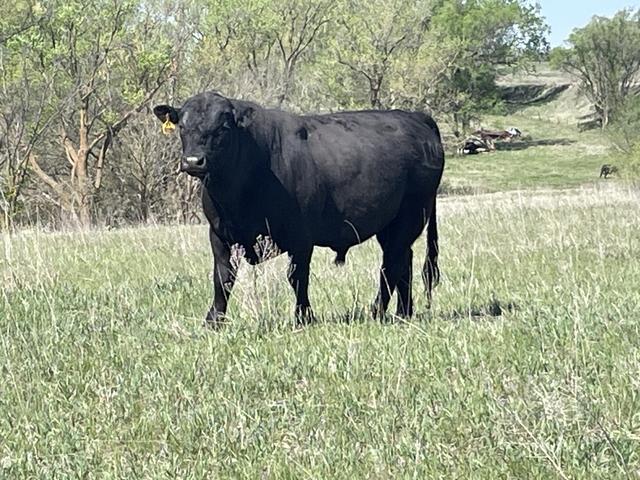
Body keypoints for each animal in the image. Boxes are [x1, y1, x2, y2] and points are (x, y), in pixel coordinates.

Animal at [153, 91, 444, 327]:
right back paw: (403, 312)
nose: (193, 161)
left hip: (409, 215)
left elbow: (297, 277)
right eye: (182, 126)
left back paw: (377, 311)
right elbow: (223, 278)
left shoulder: (301, 236)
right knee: (403, 262)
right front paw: (213, 321)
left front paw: (304, 317)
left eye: (223, 126)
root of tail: (415, 117)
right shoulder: (219, 235)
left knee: (391, 266)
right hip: (391, 224)